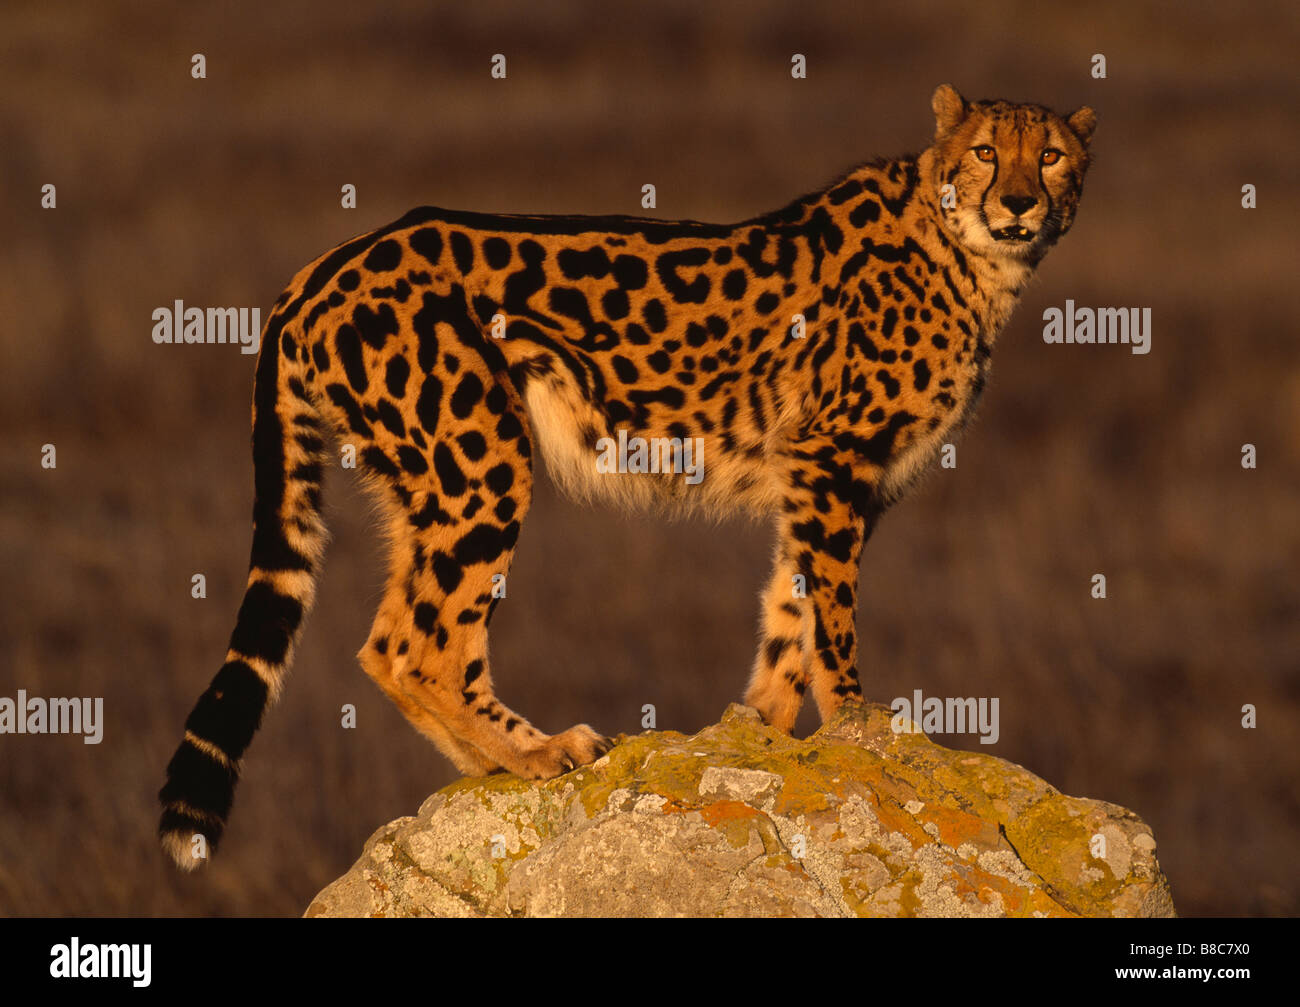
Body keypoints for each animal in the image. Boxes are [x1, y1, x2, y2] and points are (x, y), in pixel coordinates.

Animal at [159, 84, 1095, 869]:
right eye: (986, 151)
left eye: (1050, 155)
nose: (1018, 201)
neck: (967, 255)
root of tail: (324, 265)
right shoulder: (832, 458)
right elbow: (830, 624)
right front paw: (856, 732)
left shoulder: (815, 479)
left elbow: (787, 621)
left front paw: (758, 737)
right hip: (481, 458)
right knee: (419, 645)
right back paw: (540, 751)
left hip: (419, 480)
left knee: (393, 639)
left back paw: (491, 770)